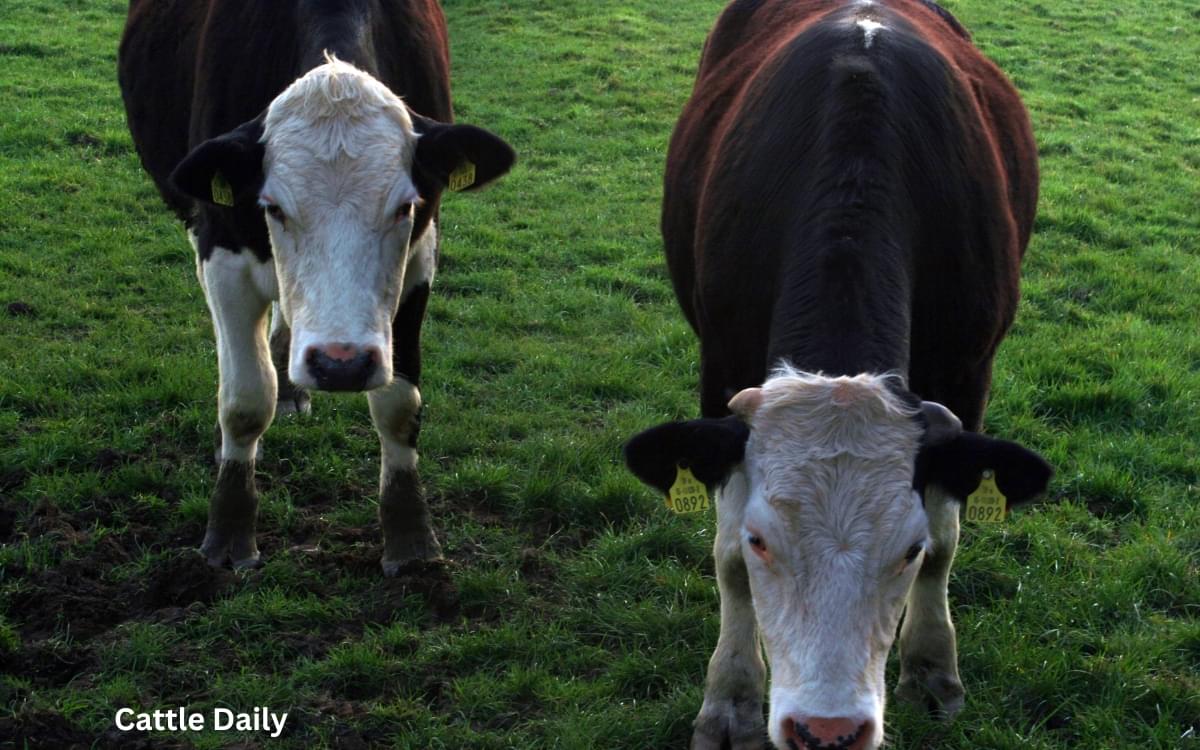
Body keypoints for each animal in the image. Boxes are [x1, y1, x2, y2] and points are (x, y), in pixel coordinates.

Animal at [118, 0, 515, 575]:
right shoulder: (222, 253)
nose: (339, 363)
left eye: (404, 206)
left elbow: (399, 406)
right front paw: (229, 532)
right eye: (273, 206)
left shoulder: (420, 254)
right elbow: (244, 401)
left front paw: (410, 537)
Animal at [623, 1, 1052, 748]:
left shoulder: (968, 378)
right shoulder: (720, 375)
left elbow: (948, 539)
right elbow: (726, 559)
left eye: (906, 549)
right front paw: (730, 699)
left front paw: (932, 669)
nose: (826, 731)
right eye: (762, 540)